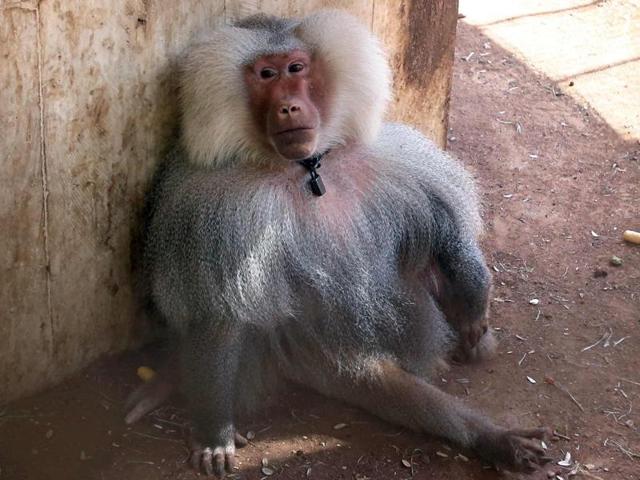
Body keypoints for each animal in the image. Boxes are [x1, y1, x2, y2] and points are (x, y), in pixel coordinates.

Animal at [127, 10, 551, 477]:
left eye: (296, 68)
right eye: (266, 74)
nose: (288, 106)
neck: (305, 170)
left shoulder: (386, 160)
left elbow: (440, 220)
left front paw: (474, 302)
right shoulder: (215, 207)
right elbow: (218, 318)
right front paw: (214, 433)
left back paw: (493, 436)